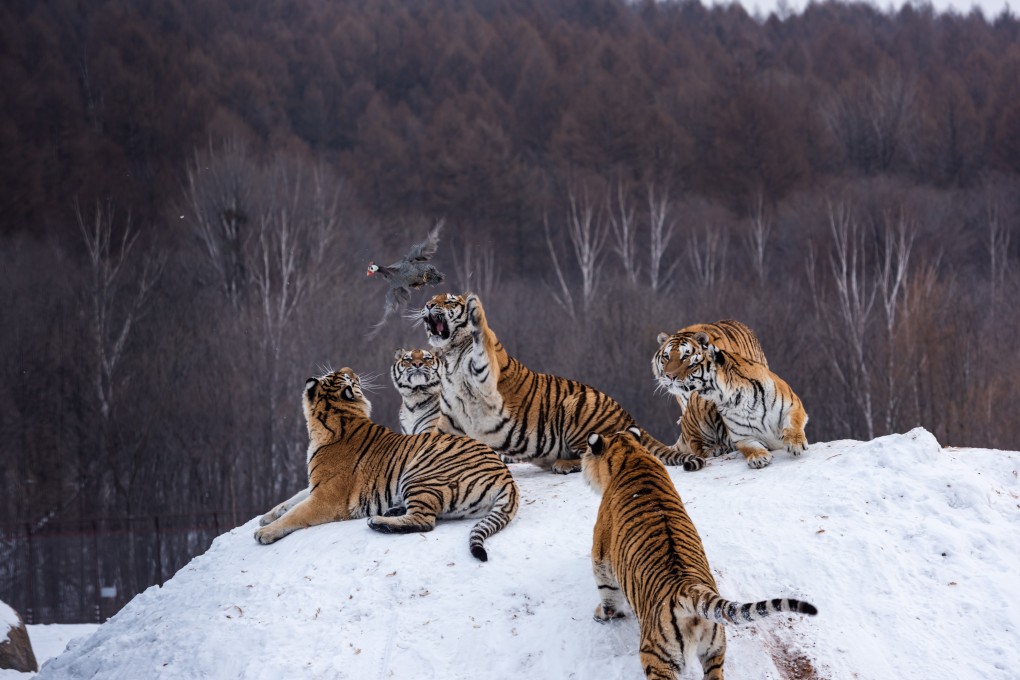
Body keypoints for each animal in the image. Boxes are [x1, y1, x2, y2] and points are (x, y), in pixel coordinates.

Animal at [254, 367, 519, 561]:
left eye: (346, 376)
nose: (352, 370)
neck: (337, 417)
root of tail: (507, 477)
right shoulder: (316, 485)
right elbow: (292, 501)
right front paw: (267, 517)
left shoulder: (326, 497)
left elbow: (296, 513)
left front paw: (264, 532)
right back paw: (392, 510)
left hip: (421, 471)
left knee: (425, 520)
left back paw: (379, 522)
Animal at [419, 292, 703, 474]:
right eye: (432, 298)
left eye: (449, 300)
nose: (428, 304)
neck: (450, 355)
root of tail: (627, 414)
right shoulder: (450, 419)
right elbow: (429, 440)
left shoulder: (485, 376)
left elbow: (482, 339)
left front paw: (475, 308)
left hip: (577, 406)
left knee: (592, 452)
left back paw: (563, 465)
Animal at [582, 428, 817, 679]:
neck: (629, 453)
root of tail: (688, 590)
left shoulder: (601, 555)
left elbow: (607, 592)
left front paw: (603, 615)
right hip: (715, 647)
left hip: (657, 658)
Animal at [663, 331, 808, 469]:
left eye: (692, 365)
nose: (669, 376)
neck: (735, 398)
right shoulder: (743, 437)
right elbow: (751, 448)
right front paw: (758, 458)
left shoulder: (793, 405)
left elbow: (792, 423)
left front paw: (796, 444)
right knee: (699, 449)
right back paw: (717, 449)